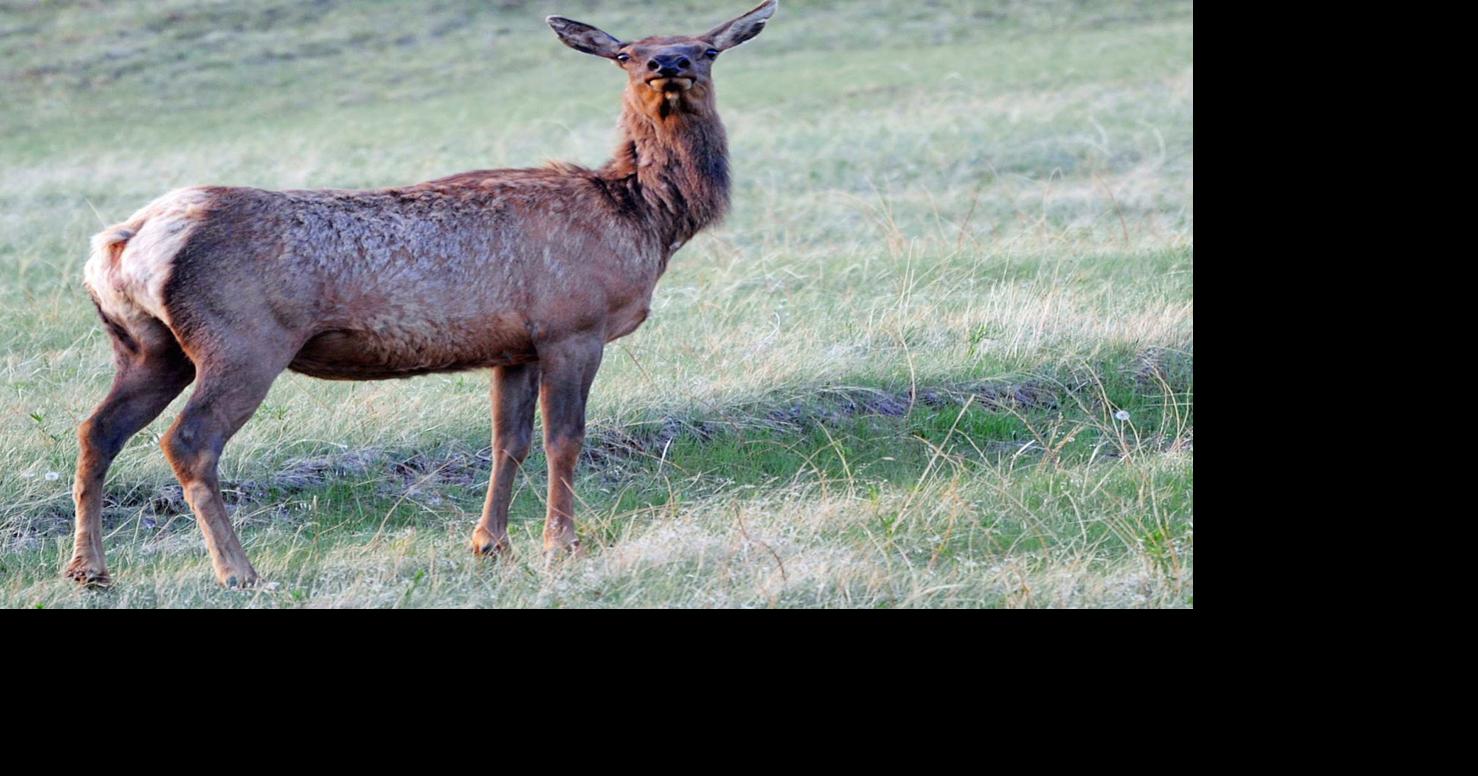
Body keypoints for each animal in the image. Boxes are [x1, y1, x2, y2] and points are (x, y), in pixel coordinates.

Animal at [67, 1, 778, 588]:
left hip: (149, 347)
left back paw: (89, 570)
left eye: (706, 49)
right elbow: (565, 439)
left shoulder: (514, 346)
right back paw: (237, 572)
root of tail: (123, 242)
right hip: (242, 340)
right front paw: (561, 546)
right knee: (189, 442)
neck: (643, 221)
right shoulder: (571, 325)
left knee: (97, 430)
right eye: (627, 52)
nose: (669, 63)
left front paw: (491, 544)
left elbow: (508, 442)